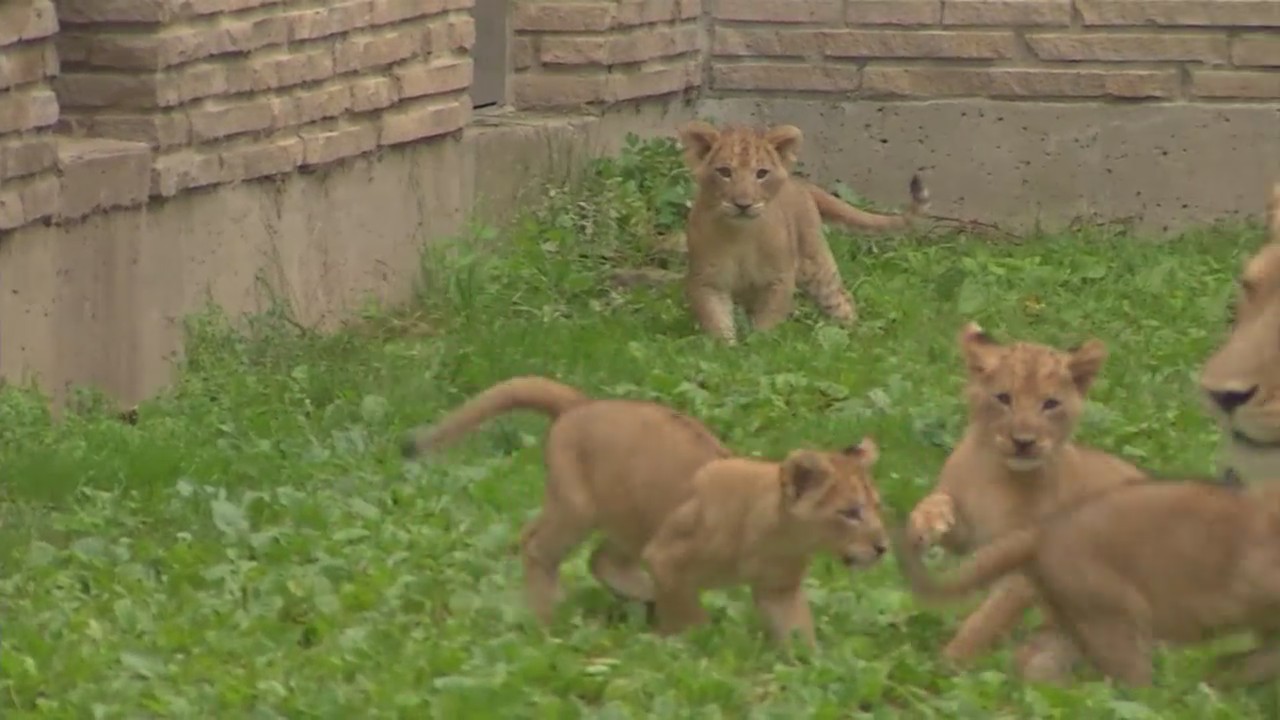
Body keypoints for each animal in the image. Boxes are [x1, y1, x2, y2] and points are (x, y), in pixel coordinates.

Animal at [400, 375, 890, 647]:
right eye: (850, 512)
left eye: (877, 508)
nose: (884, 547)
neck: (779, 539)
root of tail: (580, 405)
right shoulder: (669, 555)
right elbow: (688, 618)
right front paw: (692, 643)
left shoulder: (779, 591)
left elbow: (799, 635)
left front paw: (813, 671)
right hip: (577, 508)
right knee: (536, 544)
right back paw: (546, 615)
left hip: (634, 520)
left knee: (601, 560)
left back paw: (637, 594)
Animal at [677, 120, 931, 344]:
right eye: (724, 172)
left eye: (761, 173)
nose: (743, 204)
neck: (740, 235)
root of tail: (801, 183)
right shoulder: (708, 281)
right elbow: (717, 322)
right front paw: (728, 350)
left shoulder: (779, 279)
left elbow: (767, 322)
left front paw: (759, 347)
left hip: (817, 268)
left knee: (843, 300)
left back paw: (855, 338)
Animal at [890, 477, 1280, 688]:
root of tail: (1042, 531)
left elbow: (1260, 658)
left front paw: (1227, 676)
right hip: (1118, 617)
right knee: (1133, 686)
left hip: (1076, 620)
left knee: (1033, 660)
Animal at [903, 321, 1147, 678]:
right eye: (1004, 398)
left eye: (1050, 404)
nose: (1023, 442)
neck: (996, 475)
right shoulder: (970, 535)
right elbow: (942, 504)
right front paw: (926, 521)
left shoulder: (1025, 562)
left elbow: (988, 618)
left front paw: (950, 663)